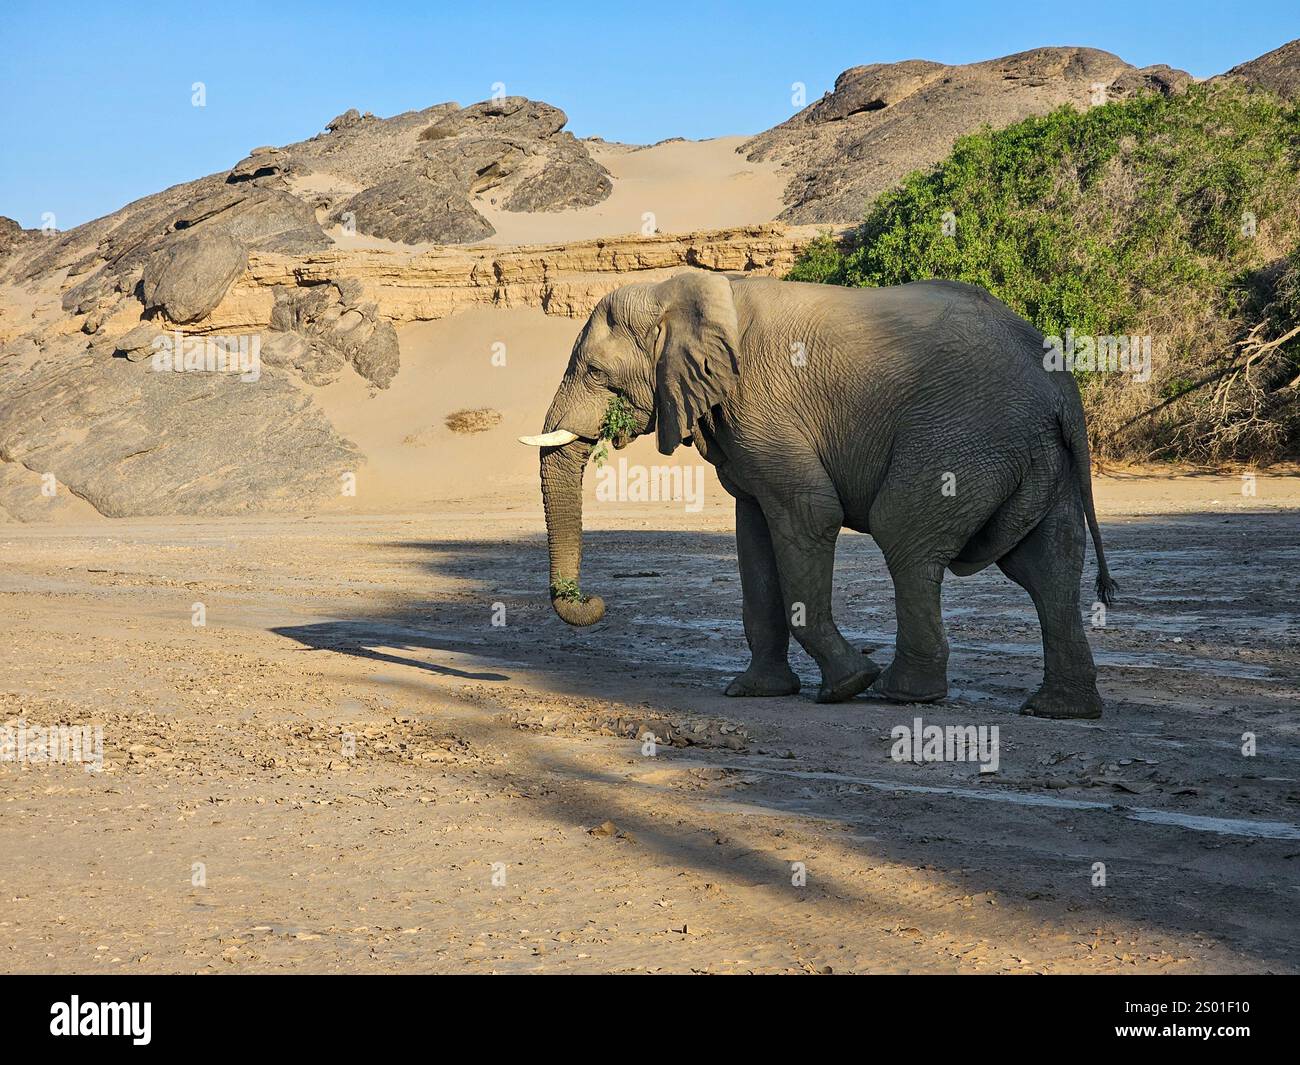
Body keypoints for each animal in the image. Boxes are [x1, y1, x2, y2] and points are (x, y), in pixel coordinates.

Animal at [521, 271, 1116, 719]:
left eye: (596, 372)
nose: (591, 601)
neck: (685, 291)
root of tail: (1061, 383)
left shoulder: (764, 407)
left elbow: (810, 515)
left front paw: (848, 686)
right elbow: (755, 542)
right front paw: (754, 693)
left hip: (963, 436)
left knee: (906, 538)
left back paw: (900, 693)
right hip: (1034, 452)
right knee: (1047, 564)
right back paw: (1059, 710)